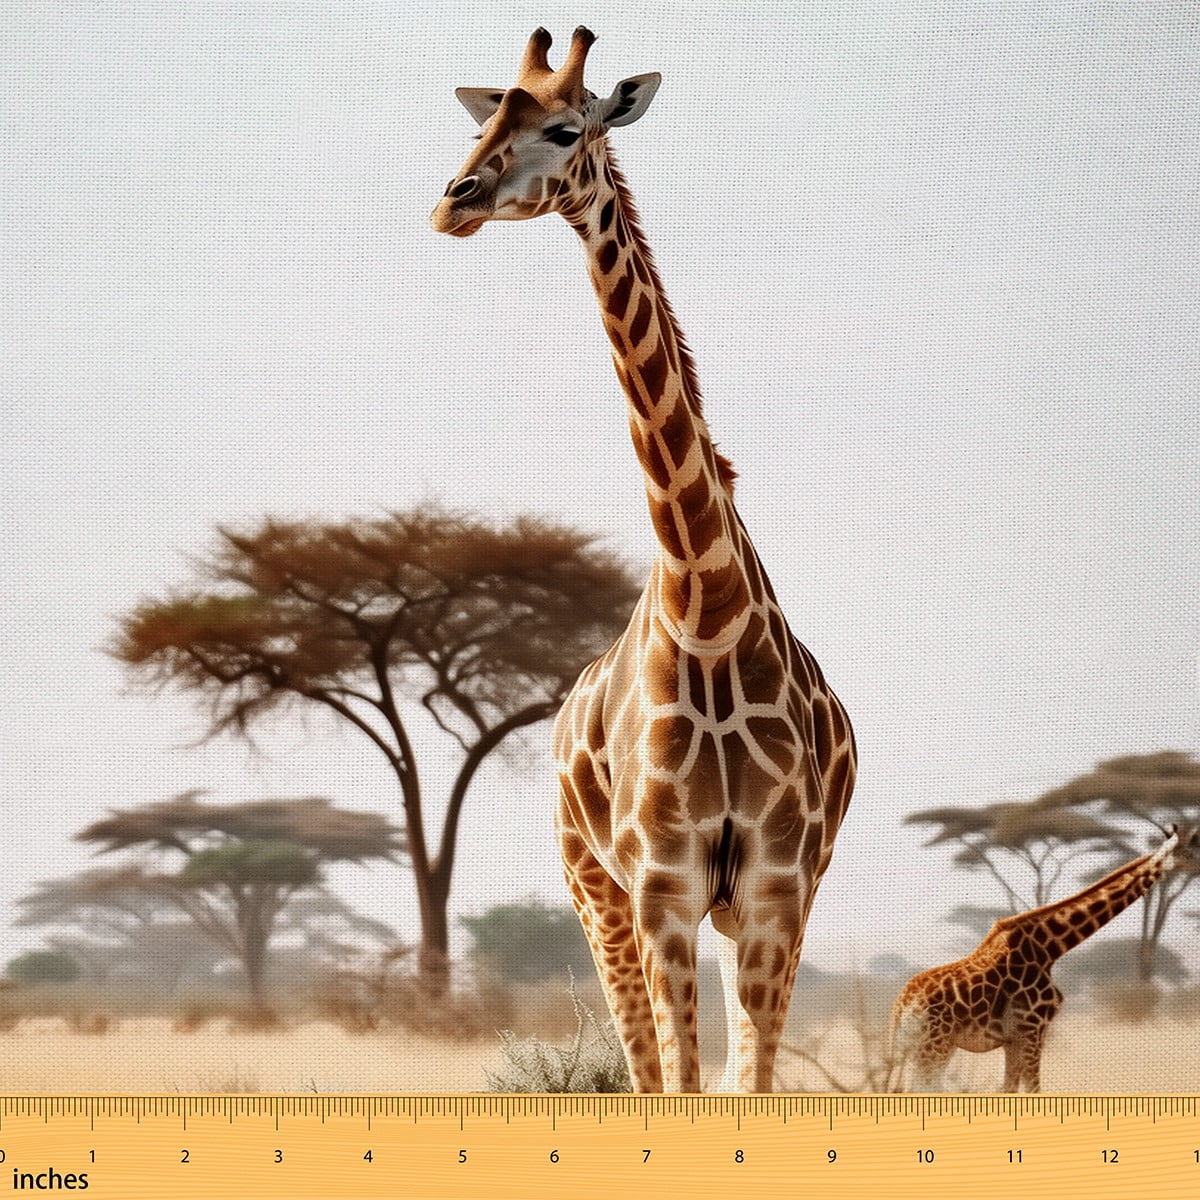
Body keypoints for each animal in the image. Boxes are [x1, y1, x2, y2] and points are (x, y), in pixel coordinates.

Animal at [431, 27, 856, 1093]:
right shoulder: (660, 888)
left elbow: (748, 1091)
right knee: (639, 1069)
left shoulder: (777, 891)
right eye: (487, 118)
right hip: (592, 892)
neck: (704, 605)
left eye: (564, 127)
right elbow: (677, 1089)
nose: (452, 199)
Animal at [887, 829, 1181, 1093]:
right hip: (934, 1045)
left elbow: (1009, 1090)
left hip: (924, 1048)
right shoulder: (1033, 1029)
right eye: (1184, 852)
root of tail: (901, 1008)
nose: (1184, 872)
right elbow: (1033, 1089)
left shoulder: (1012, 1040)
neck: (1049, 947)